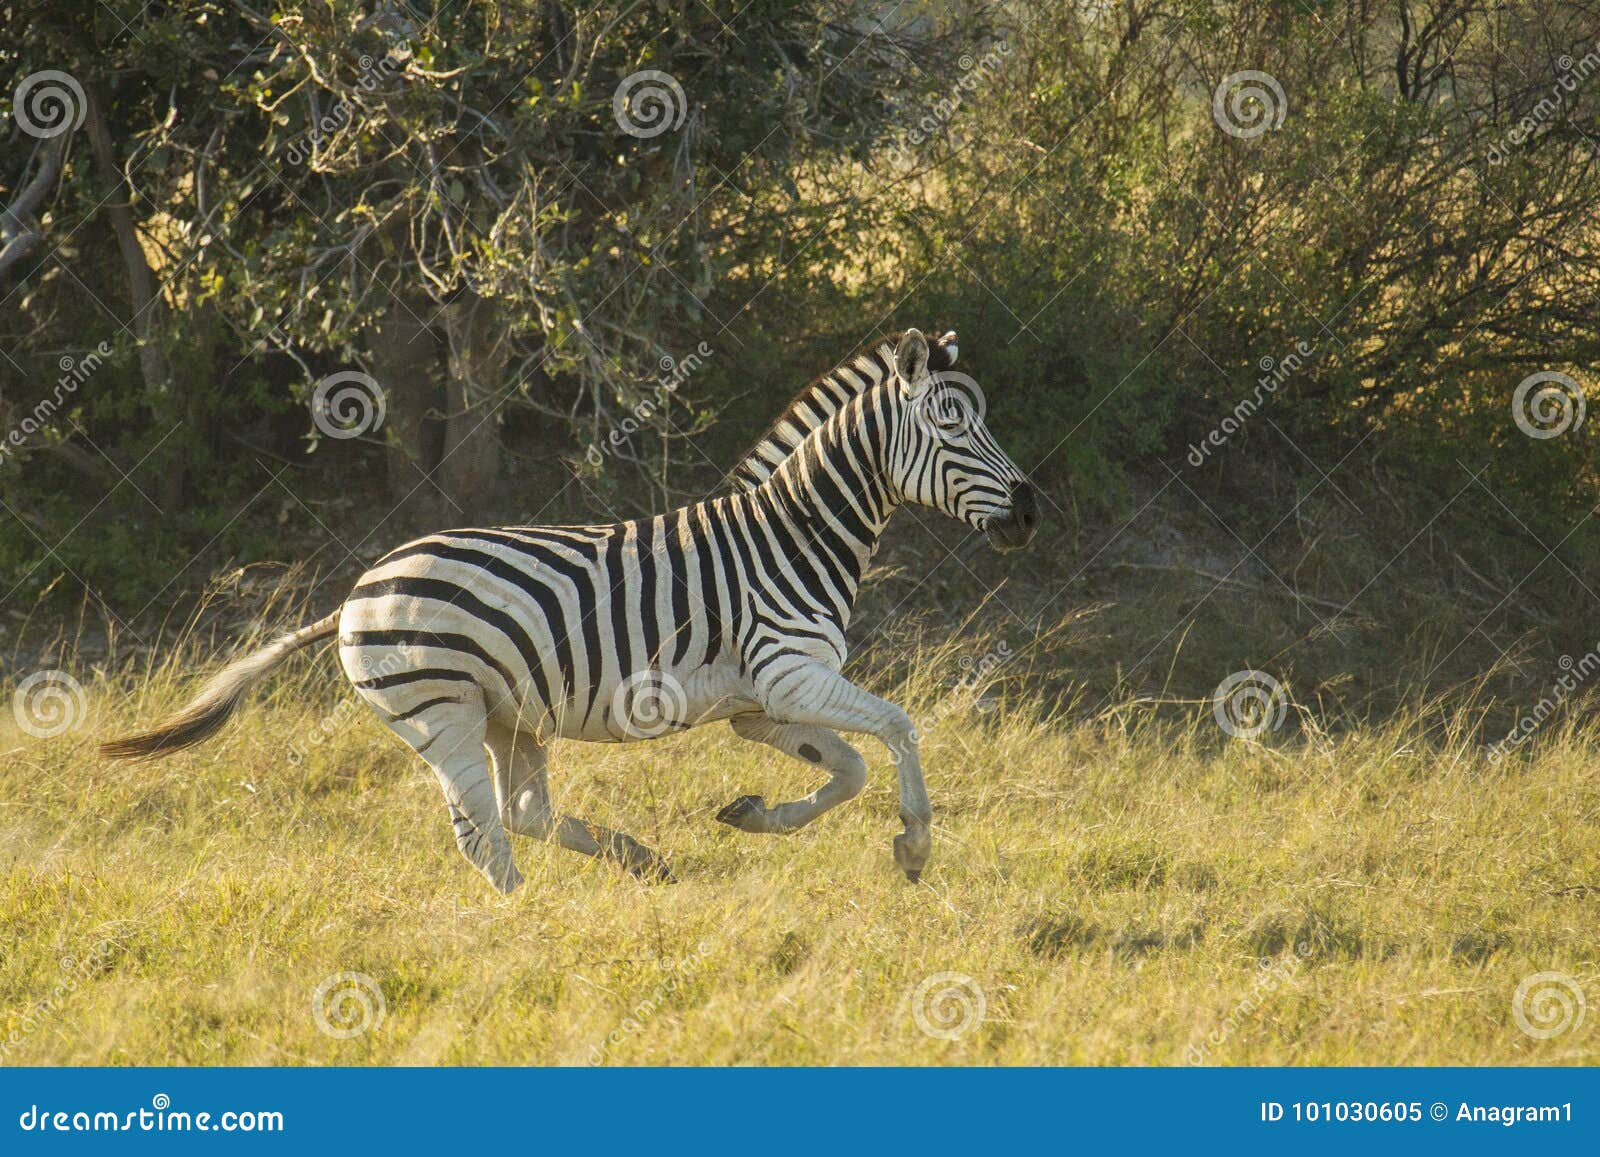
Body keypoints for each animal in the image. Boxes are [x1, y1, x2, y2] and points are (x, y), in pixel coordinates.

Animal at [102, 328, 1039, 892]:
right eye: (954, 427)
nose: (1031, 512)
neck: (792, 537)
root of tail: (349, 598)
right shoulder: (789, 675)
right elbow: (901, 728)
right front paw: (915, 846)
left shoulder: (760, 704)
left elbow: (847, 769)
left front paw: (756, 815)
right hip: (440, 712)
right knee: (482, 831)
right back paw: (524, 922)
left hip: (506, 714)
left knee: (522, 814)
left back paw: (641, 862)